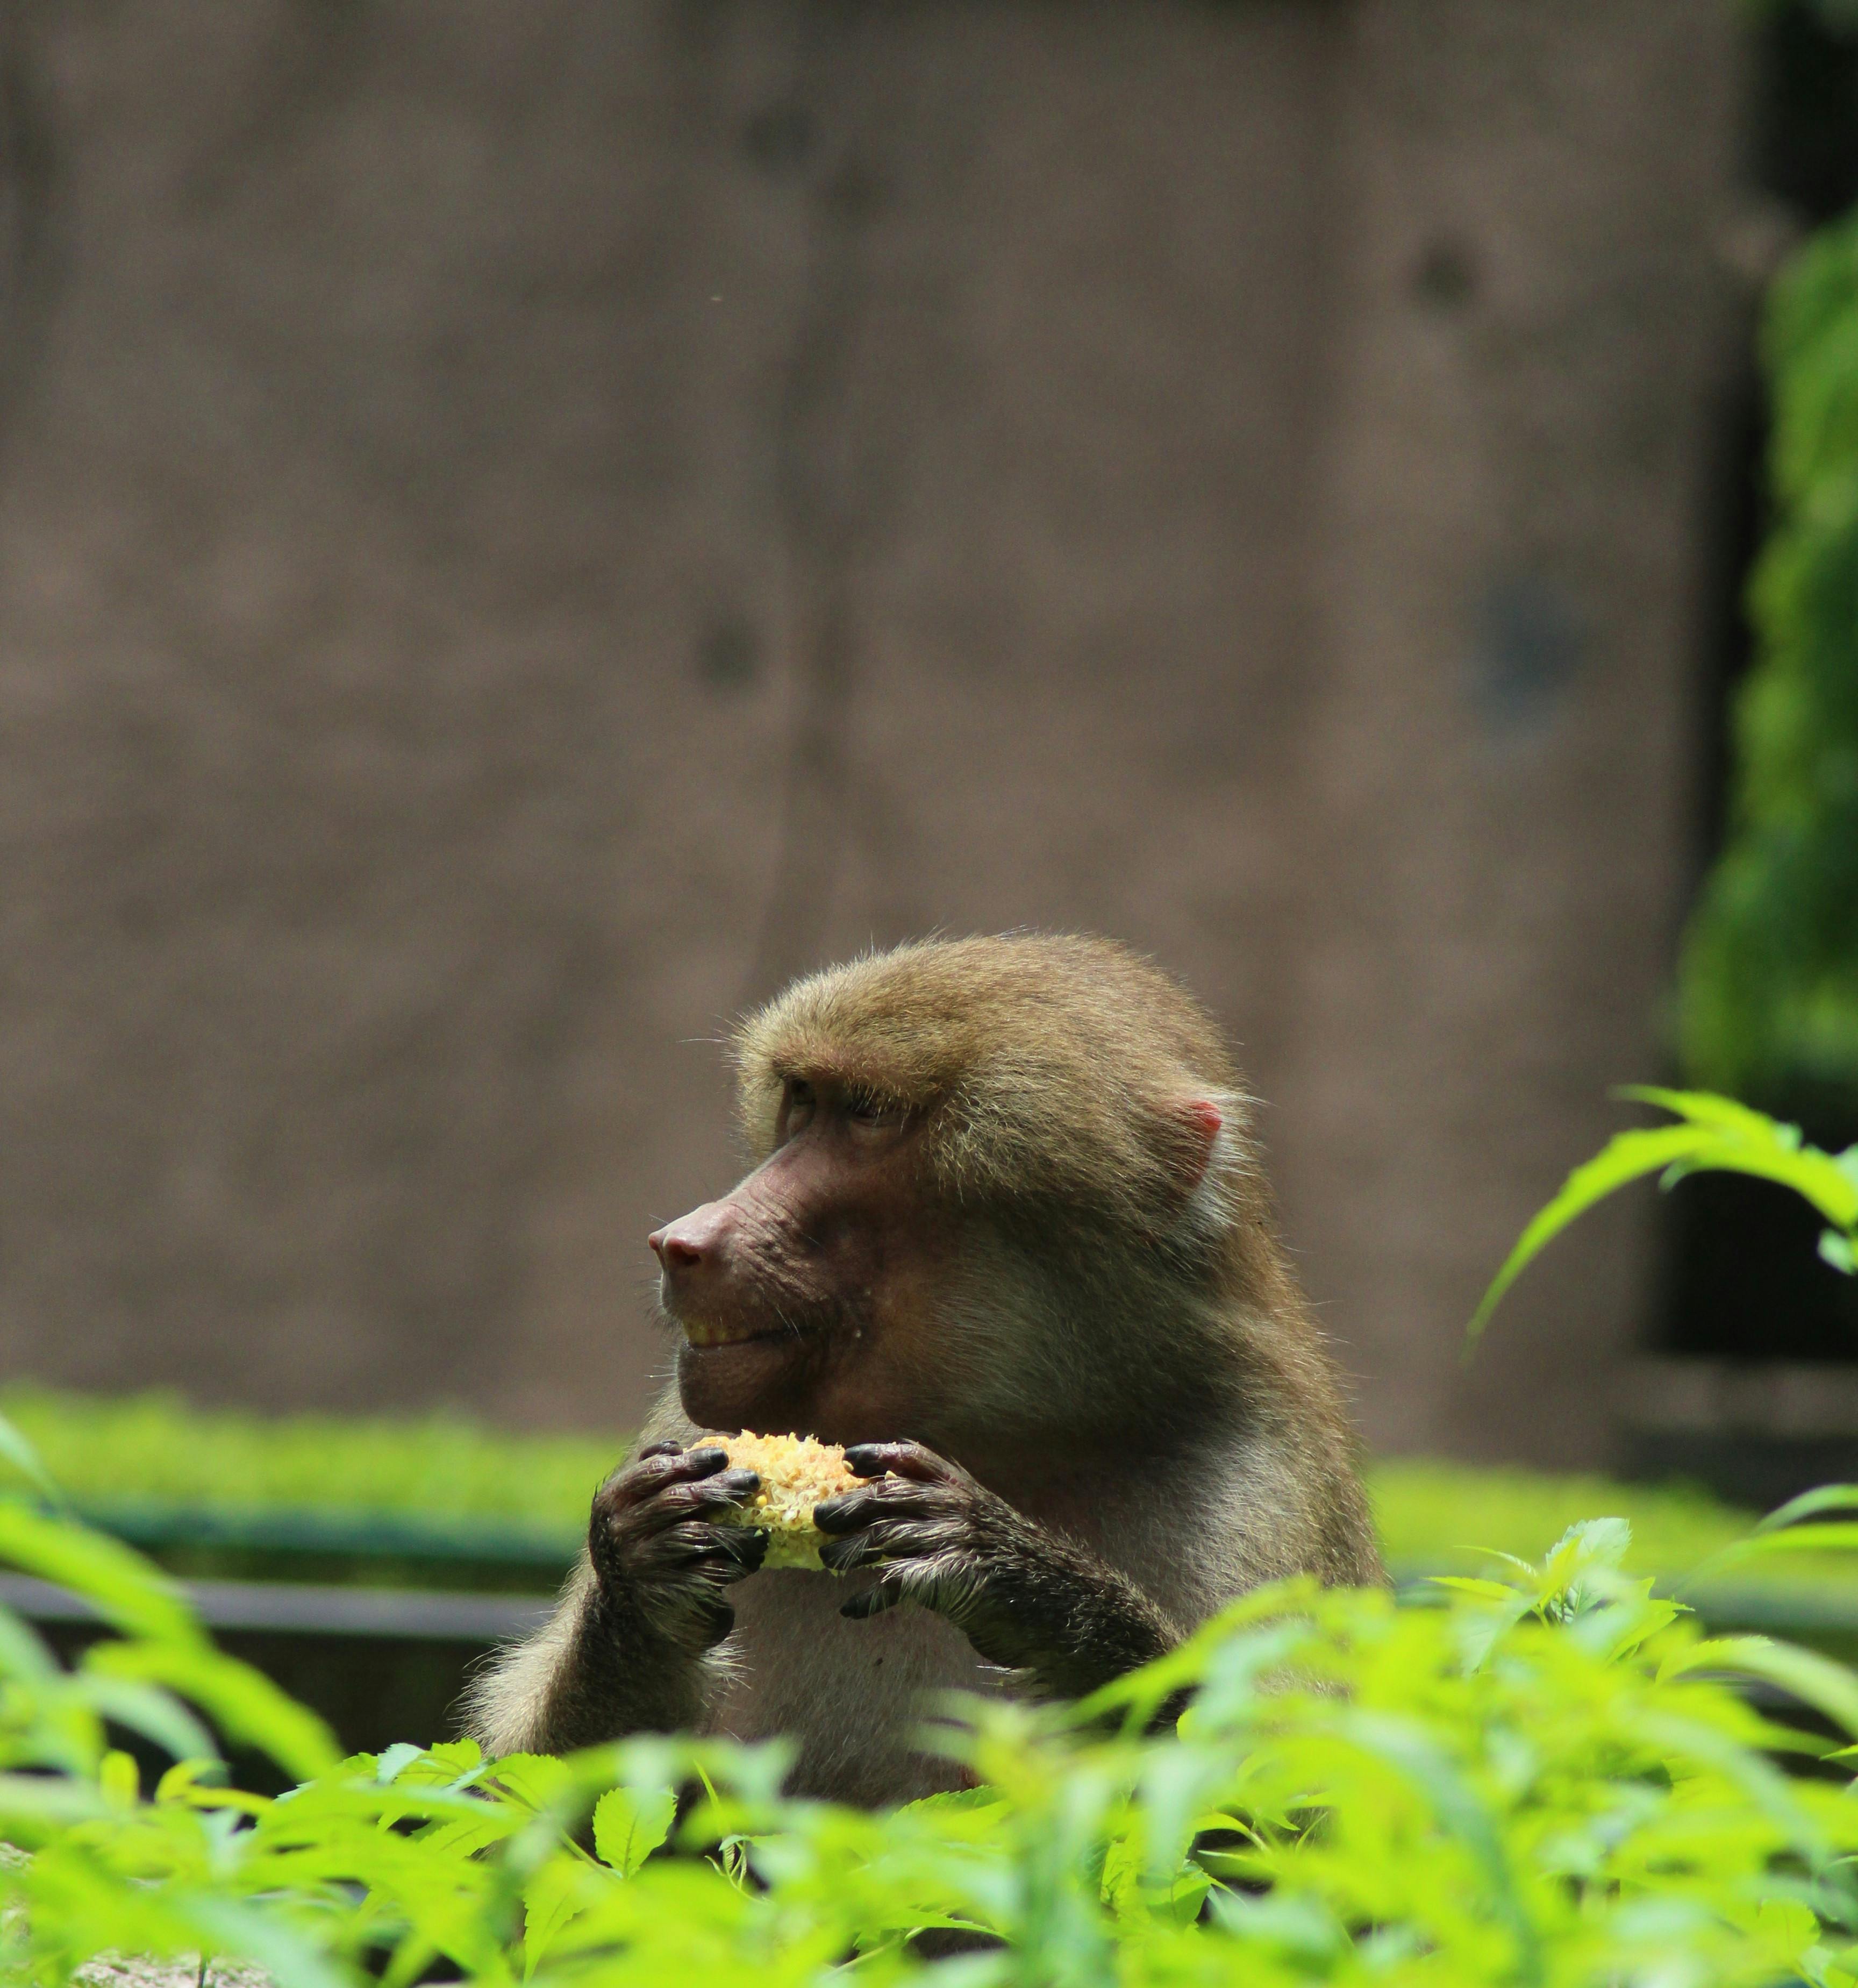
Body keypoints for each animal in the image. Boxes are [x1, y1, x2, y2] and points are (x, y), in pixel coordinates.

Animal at [464, 933, 1382, 1804]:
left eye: (868, 1113)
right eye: (804, 1101)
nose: (685, 1241)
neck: (1025, 1433)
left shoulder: (1262, 1482)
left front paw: (1031, 1588)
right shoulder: (696, 1428)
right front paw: (641, 1580)